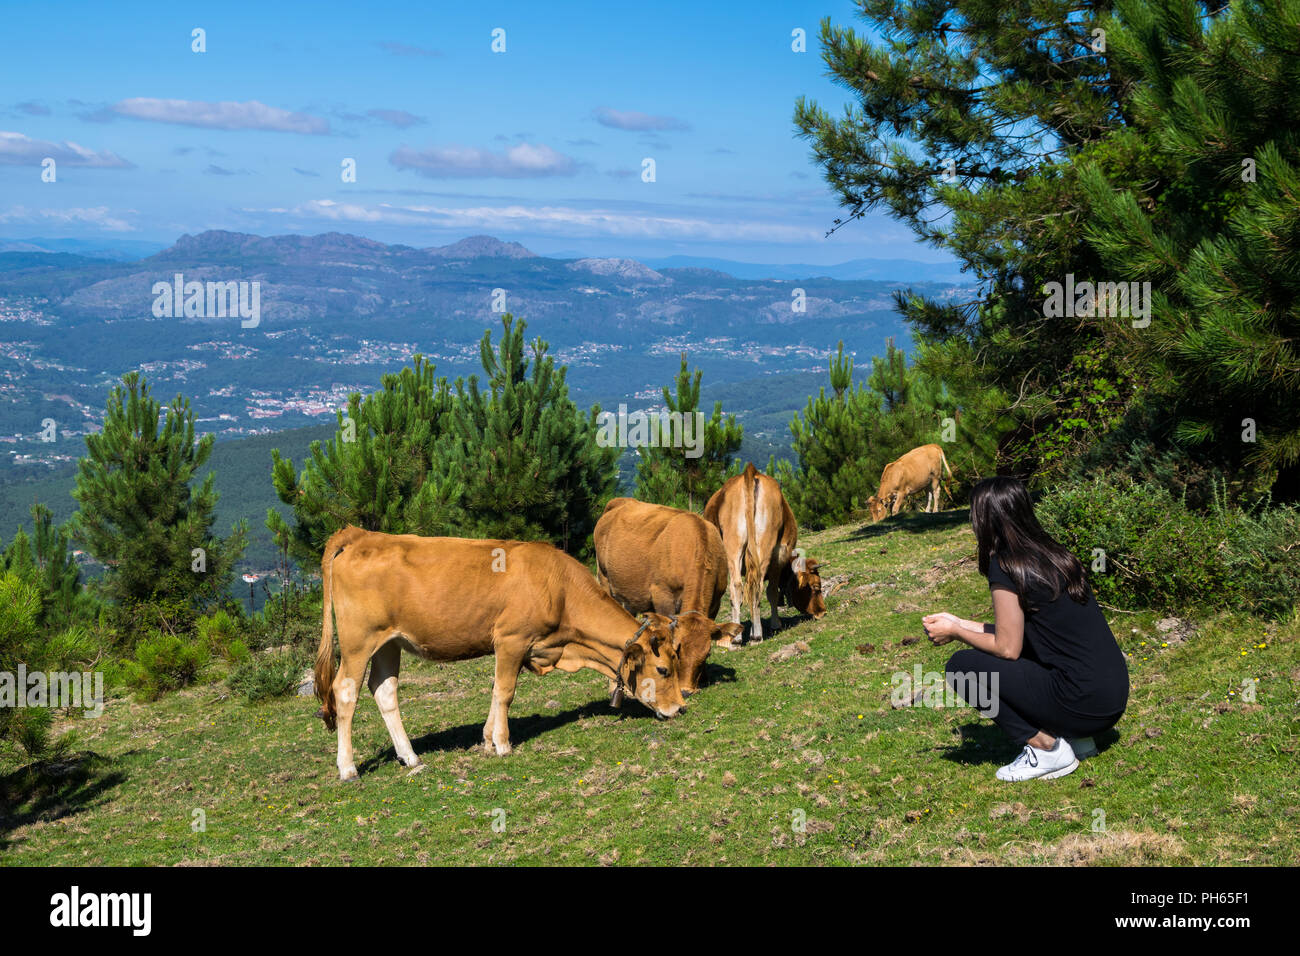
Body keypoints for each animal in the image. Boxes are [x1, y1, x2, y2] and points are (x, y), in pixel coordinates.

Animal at [314, 526, 686, 781]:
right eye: (664, 670)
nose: (681, 708)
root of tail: (360, 535)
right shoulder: (511, 639)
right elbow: (506, 692)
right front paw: (504, 745)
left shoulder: (516, 647)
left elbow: (496, 690)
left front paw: (487, 739)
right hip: (358, 641)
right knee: (345, 691)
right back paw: (348, 768)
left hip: (389, 642)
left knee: (384, 689)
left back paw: (411, 756)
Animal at [593, 498, 745, 694]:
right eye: (676, 650)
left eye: (707, 653)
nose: (686, 690)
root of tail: (620, 502)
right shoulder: (662, 595)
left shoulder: (716, 601)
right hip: (604, 578)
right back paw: (614, 686)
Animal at [703, 463, 827, 642]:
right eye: (816, 587)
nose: (823, 612)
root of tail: (751, 472)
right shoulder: (777, 561)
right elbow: (772, 592)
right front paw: (776, 624)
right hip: (764, 547)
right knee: (758, 587)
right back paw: (757, 636)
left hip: (733, 546)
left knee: (737, 587)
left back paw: (737, 639)